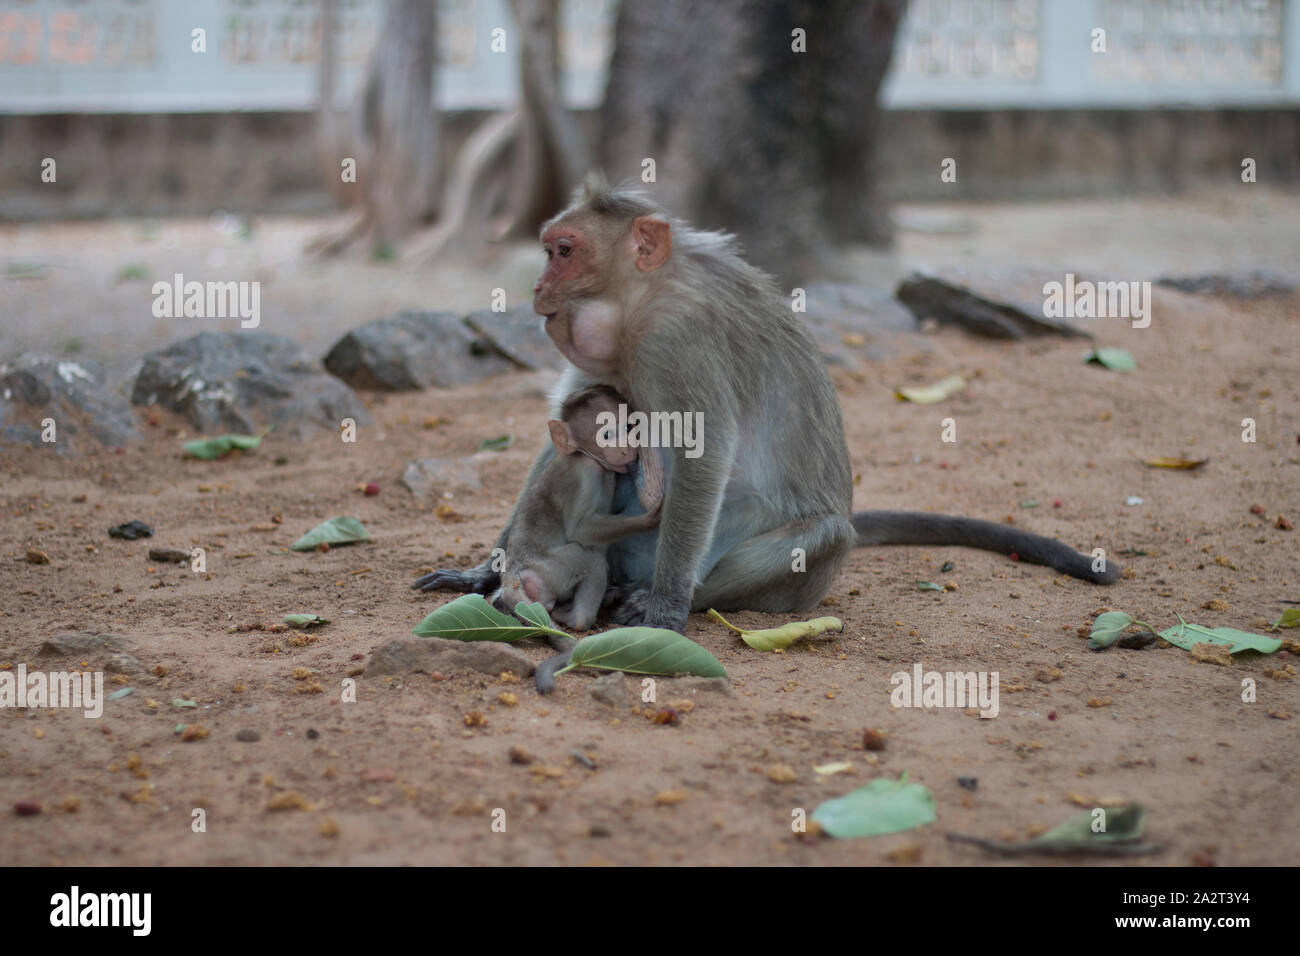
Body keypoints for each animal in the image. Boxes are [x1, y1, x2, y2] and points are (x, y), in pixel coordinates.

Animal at [414, 175, 1119, 668]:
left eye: (563, 251)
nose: (536, 289)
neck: (648, 295)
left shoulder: (676, 341)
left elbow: (705, 456)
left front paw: (666, 606)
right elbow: (563, 433)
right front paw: (486, 569)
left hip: (801, 575)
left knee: (824, 535)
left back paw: (661, 596)